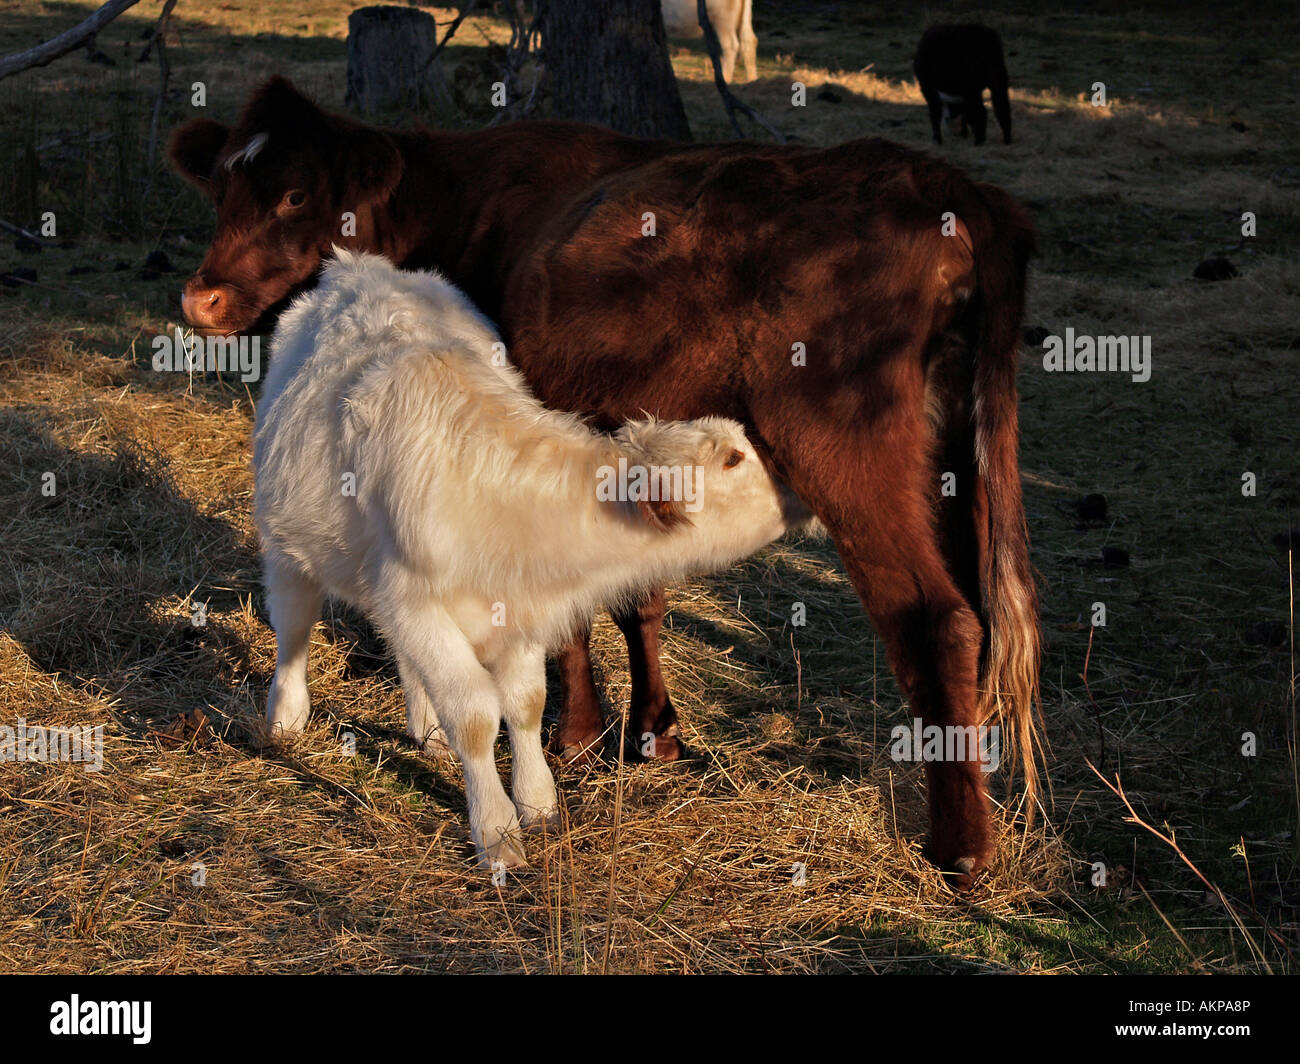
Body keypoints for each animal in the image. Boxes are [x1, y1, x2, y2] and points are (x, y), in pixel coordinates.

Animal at [255, 250, 805, 867]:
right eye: (735, 458)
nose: (797, 485)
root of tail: (359, 267)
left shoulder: (514, 610)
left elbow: (526, 702)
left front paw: (538, 804)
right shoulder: (416, 602)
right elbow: (476, 715)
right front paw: (498, 834)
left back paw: (427, 730)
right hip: (286, 539)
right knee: (294, 621)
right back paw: (287, 717)